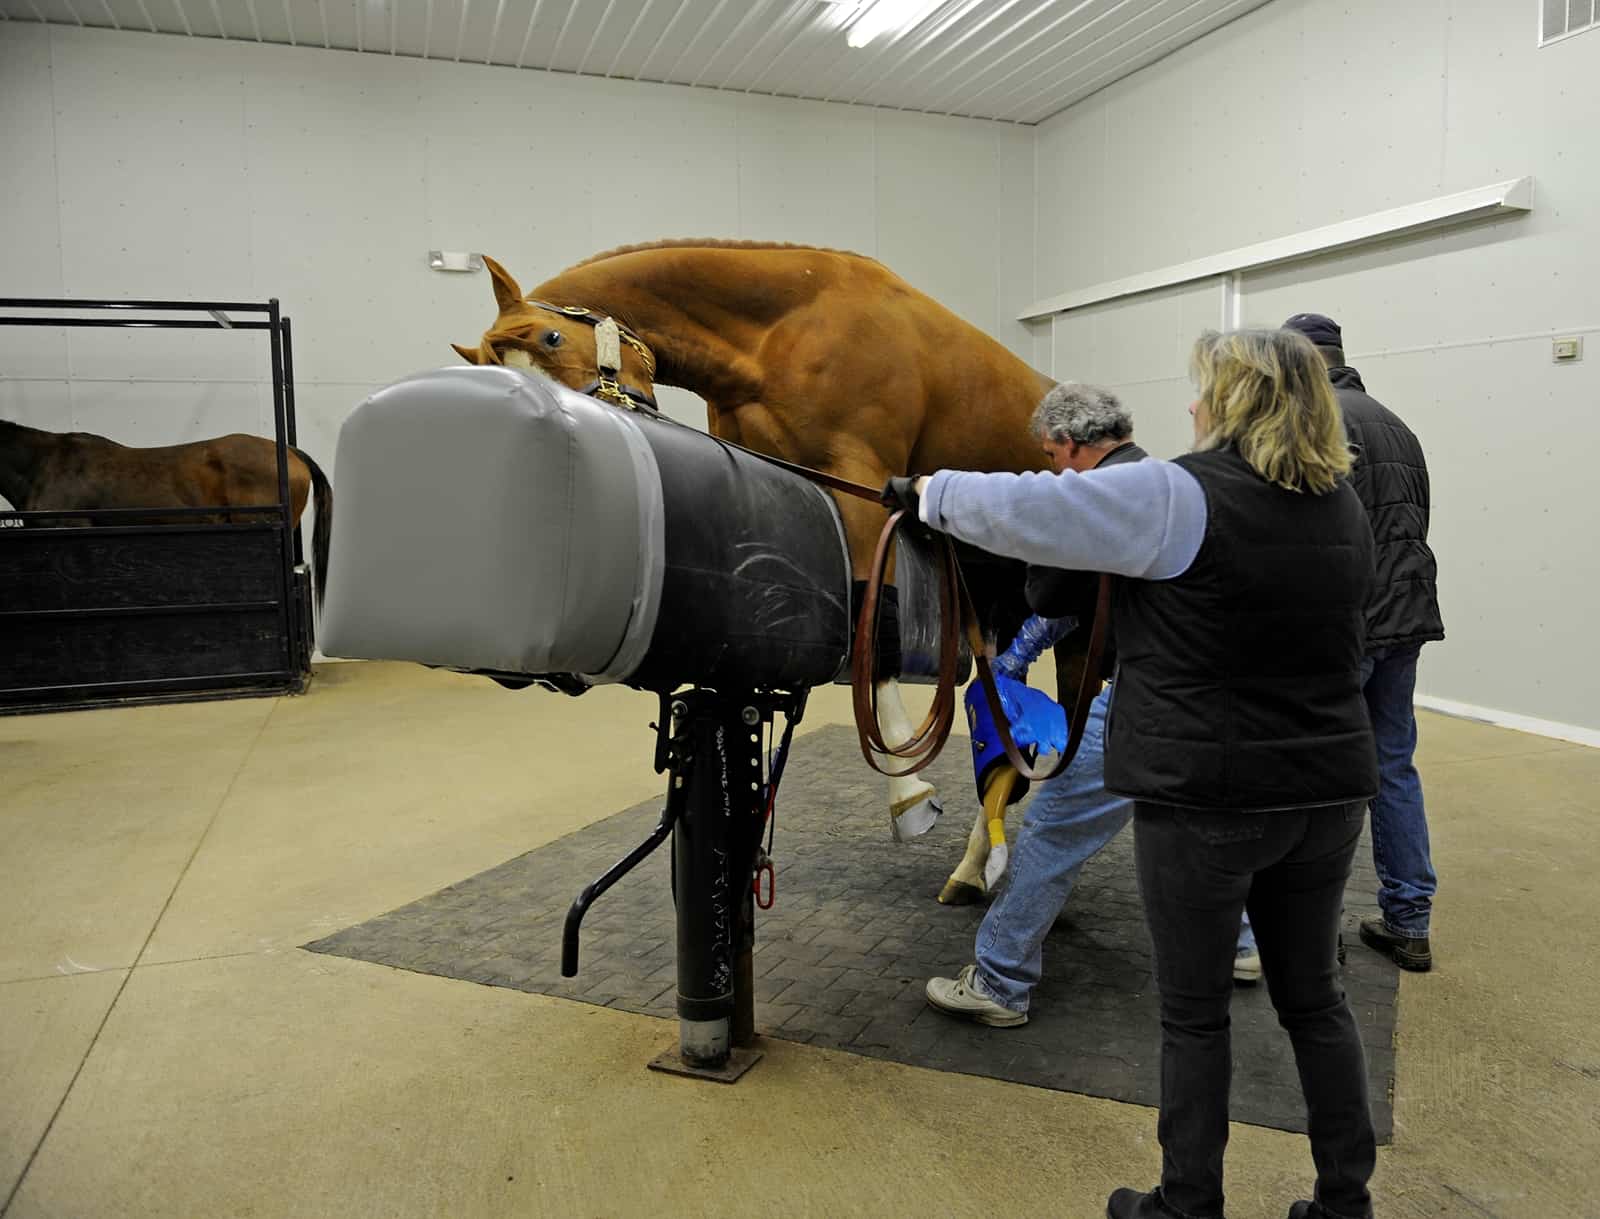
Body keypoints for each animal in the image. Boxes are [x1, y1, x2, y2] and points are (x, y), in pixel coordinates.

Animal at [451, 240, 1073, 899]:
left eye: (550, 339)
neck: (786, 328)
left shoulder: (860, 482)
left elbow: (874, 622)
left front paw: (906, 787)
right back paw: (976, 867)